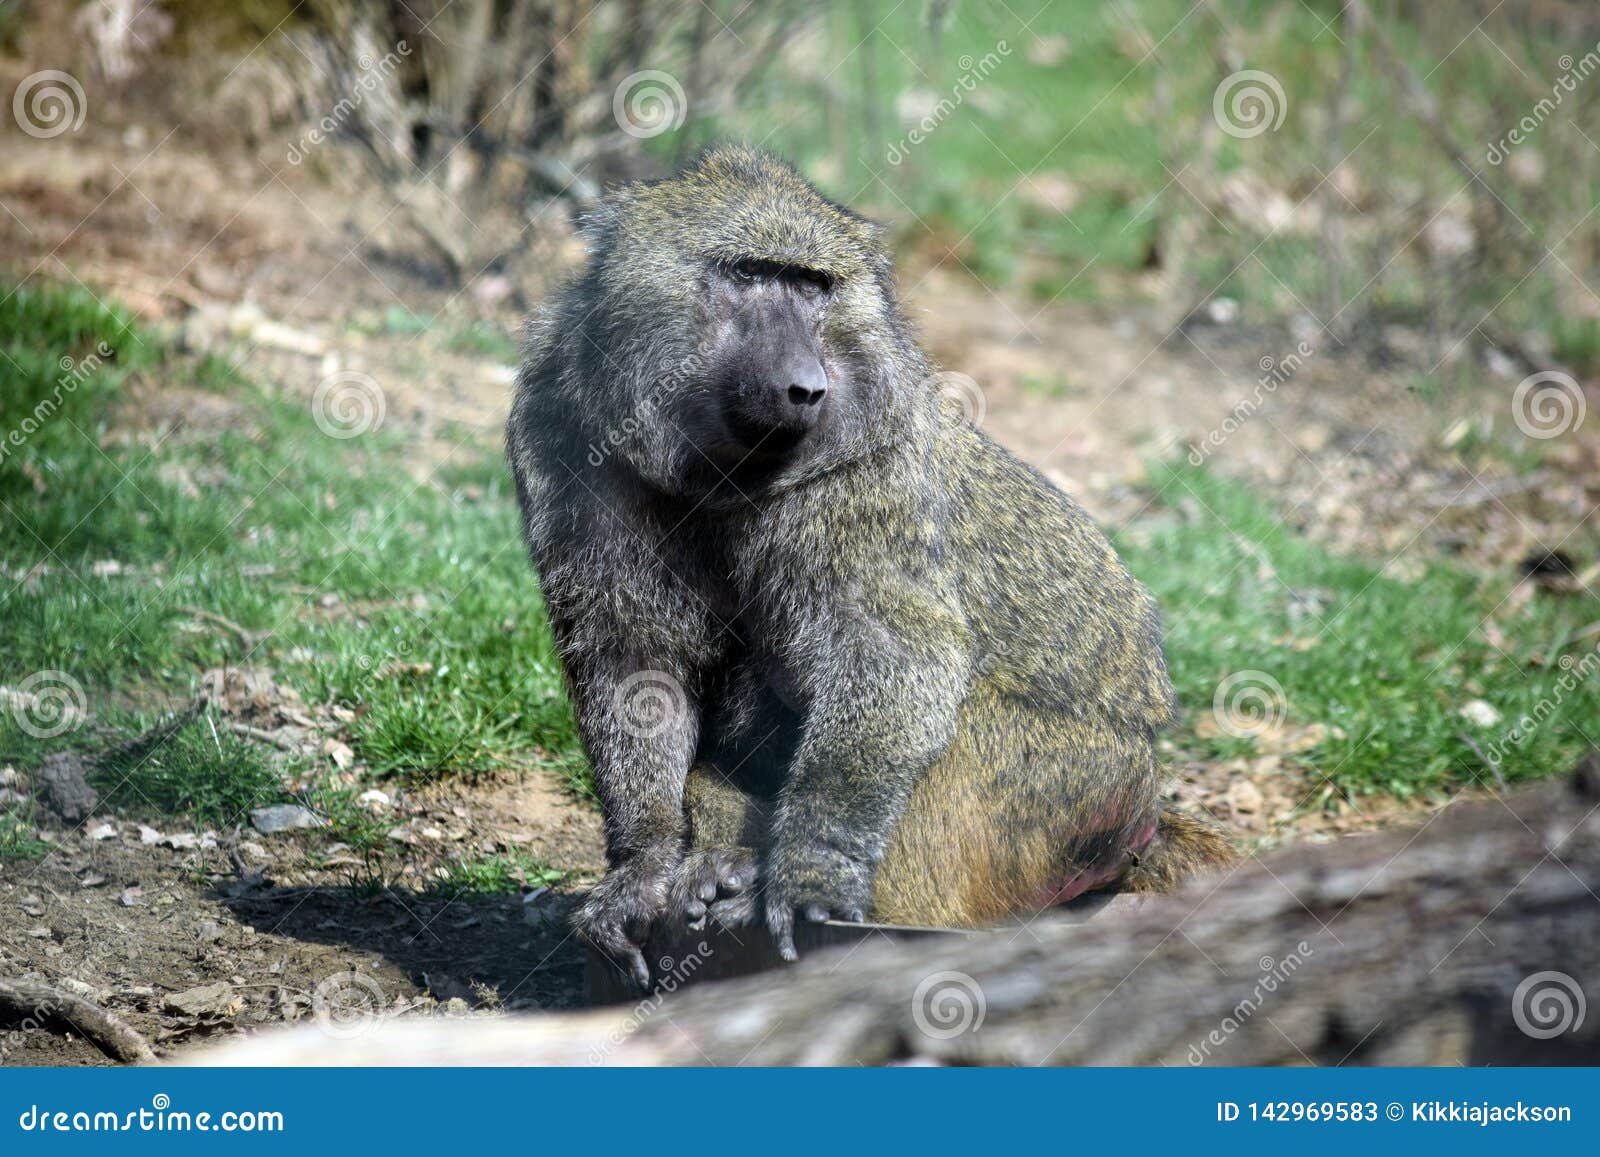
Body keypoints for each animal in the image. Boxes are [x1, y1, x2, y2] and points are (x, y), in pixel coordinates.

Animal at [507, 145, 1234, 989]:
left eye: (813, 285)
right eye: (750, 273)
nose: (804, 385)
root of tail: (1144, 813)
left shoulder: (869, 453)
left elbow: (888, 645)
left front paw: (809, 872)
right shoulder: (556, 420)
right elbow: (632, 658)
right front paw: (645, 865)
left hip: (1081, 789)